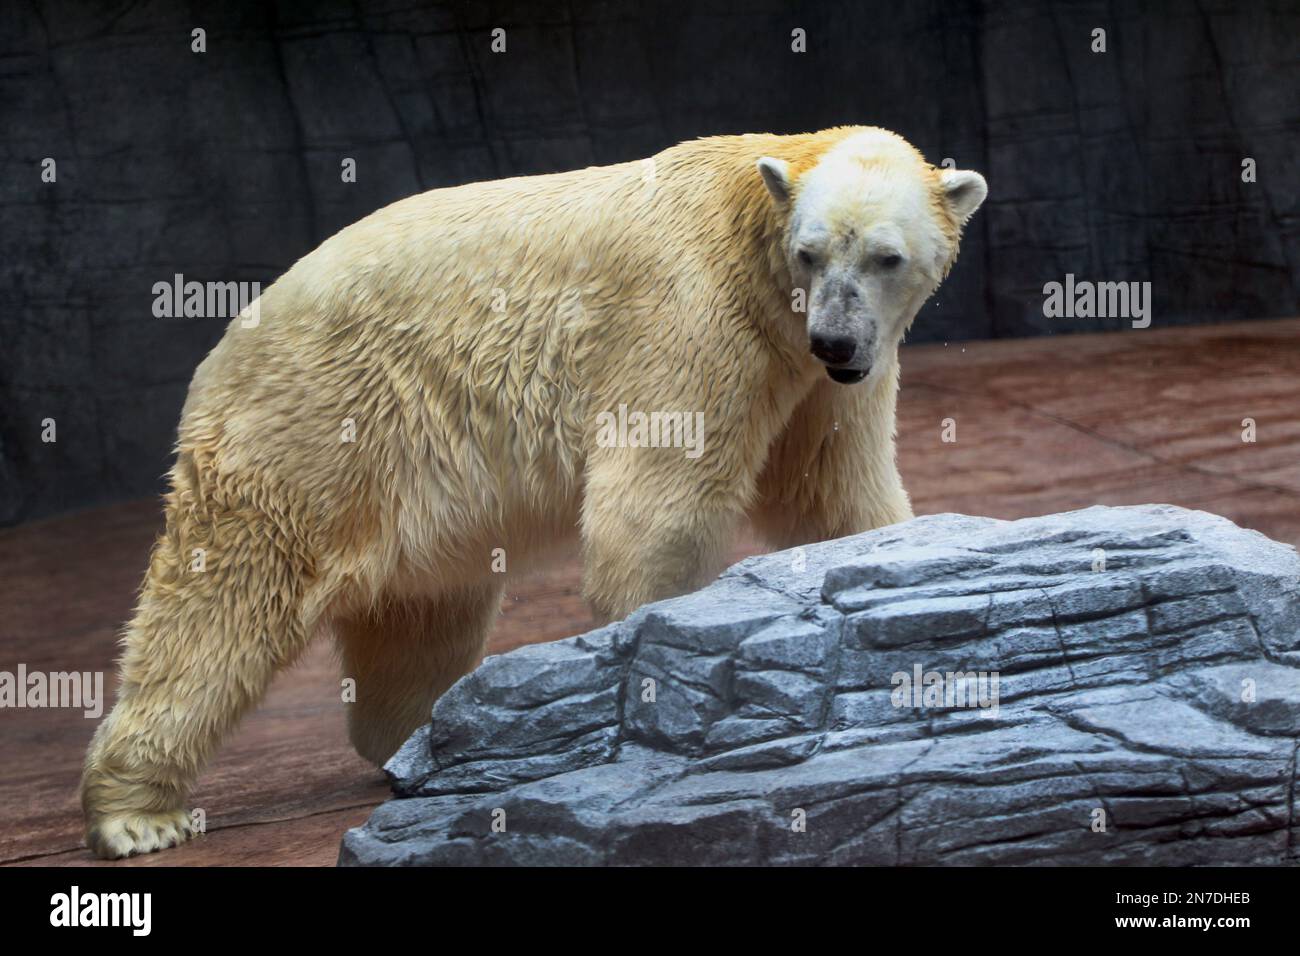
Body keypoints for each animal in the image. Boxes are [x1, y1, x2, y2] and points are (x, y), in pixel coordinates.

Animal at [81, 125, 986, 858]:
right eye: (811, 252)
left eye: (886, 257)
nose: (835, 339)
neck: (748, 226)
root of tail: (227, 345)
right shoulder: (696, 316)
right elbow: (655, 506)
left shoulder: (815, 374)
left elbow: (830, 491)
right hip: (317, 427)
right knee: (227, 603)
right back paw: (137, 813)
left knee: (421, 616)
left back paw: (421, 738)